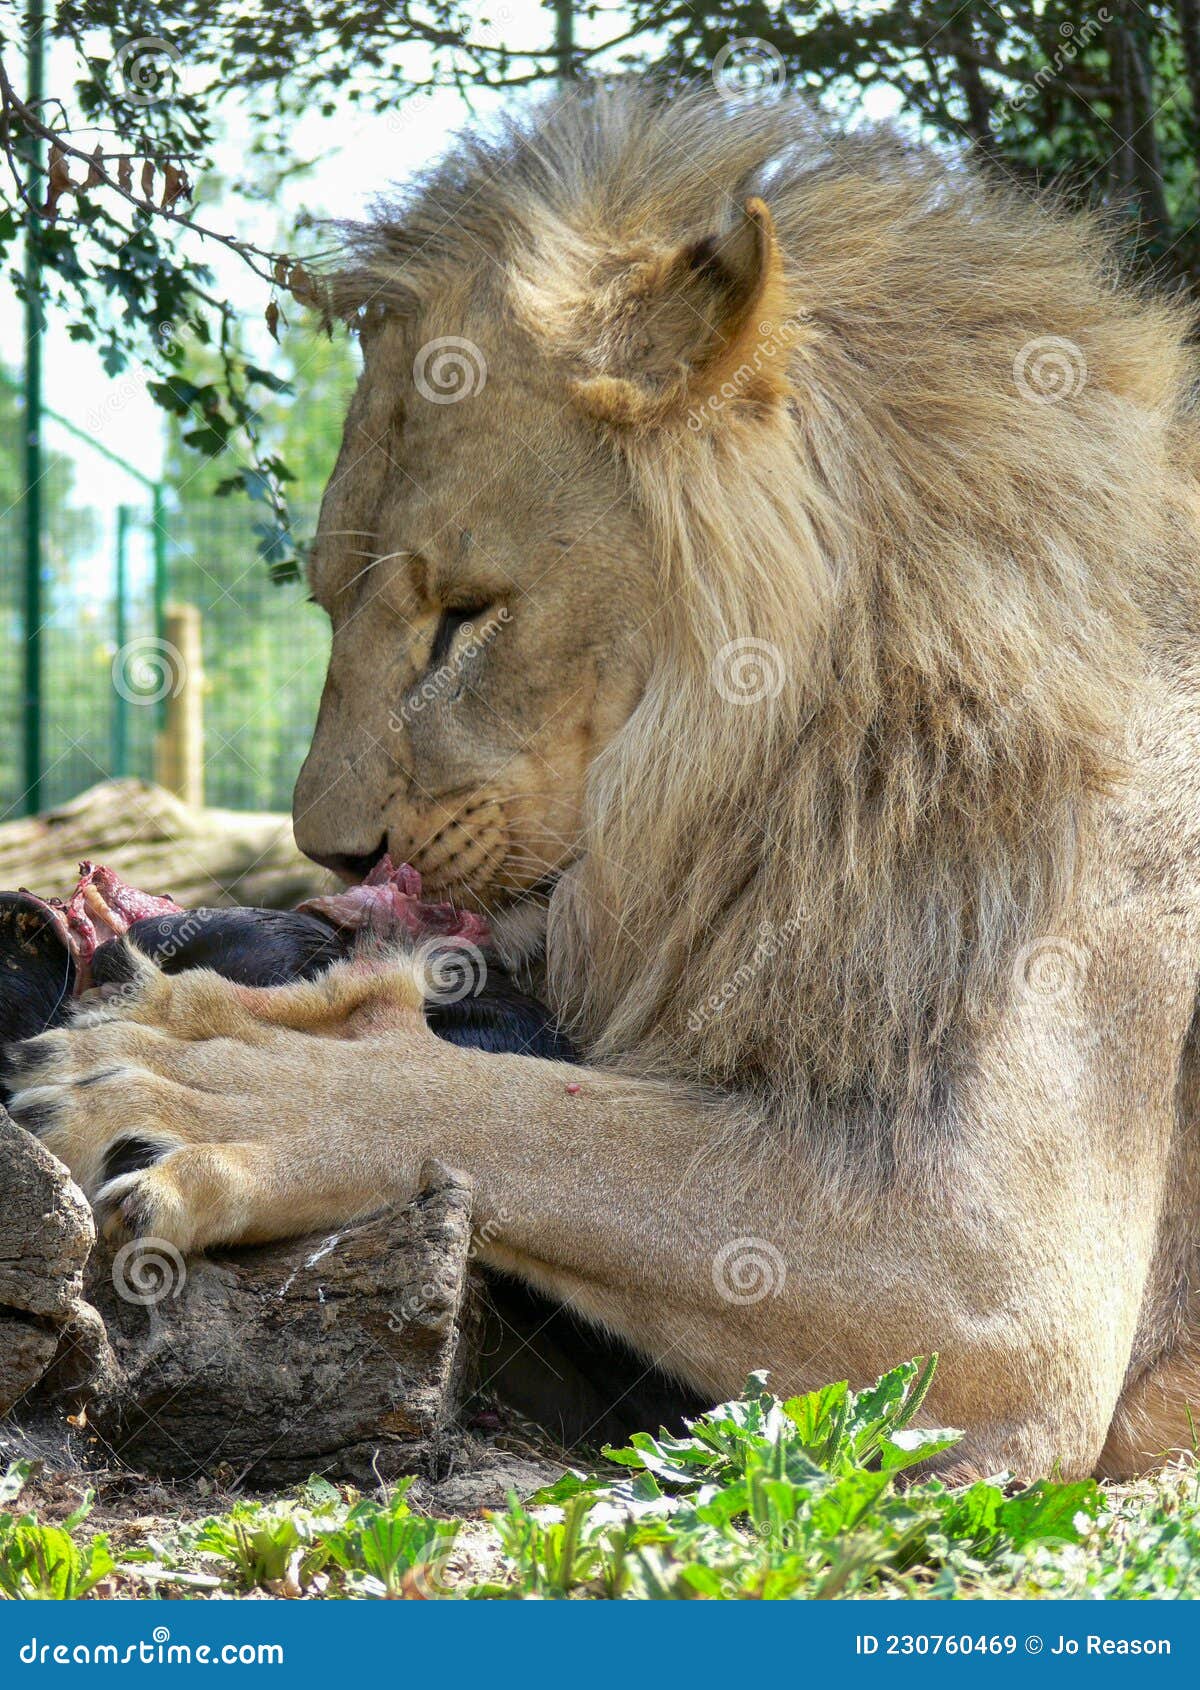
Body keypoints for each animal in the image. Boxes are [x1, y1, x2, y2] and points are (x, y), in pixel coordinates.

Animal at [9, 80, 1200, 1479]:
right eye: (326, 602)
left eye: (465, 617)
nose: (334, 852)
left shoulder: (997, 1268)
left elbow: (540, 1118)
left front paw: (190, 1078)